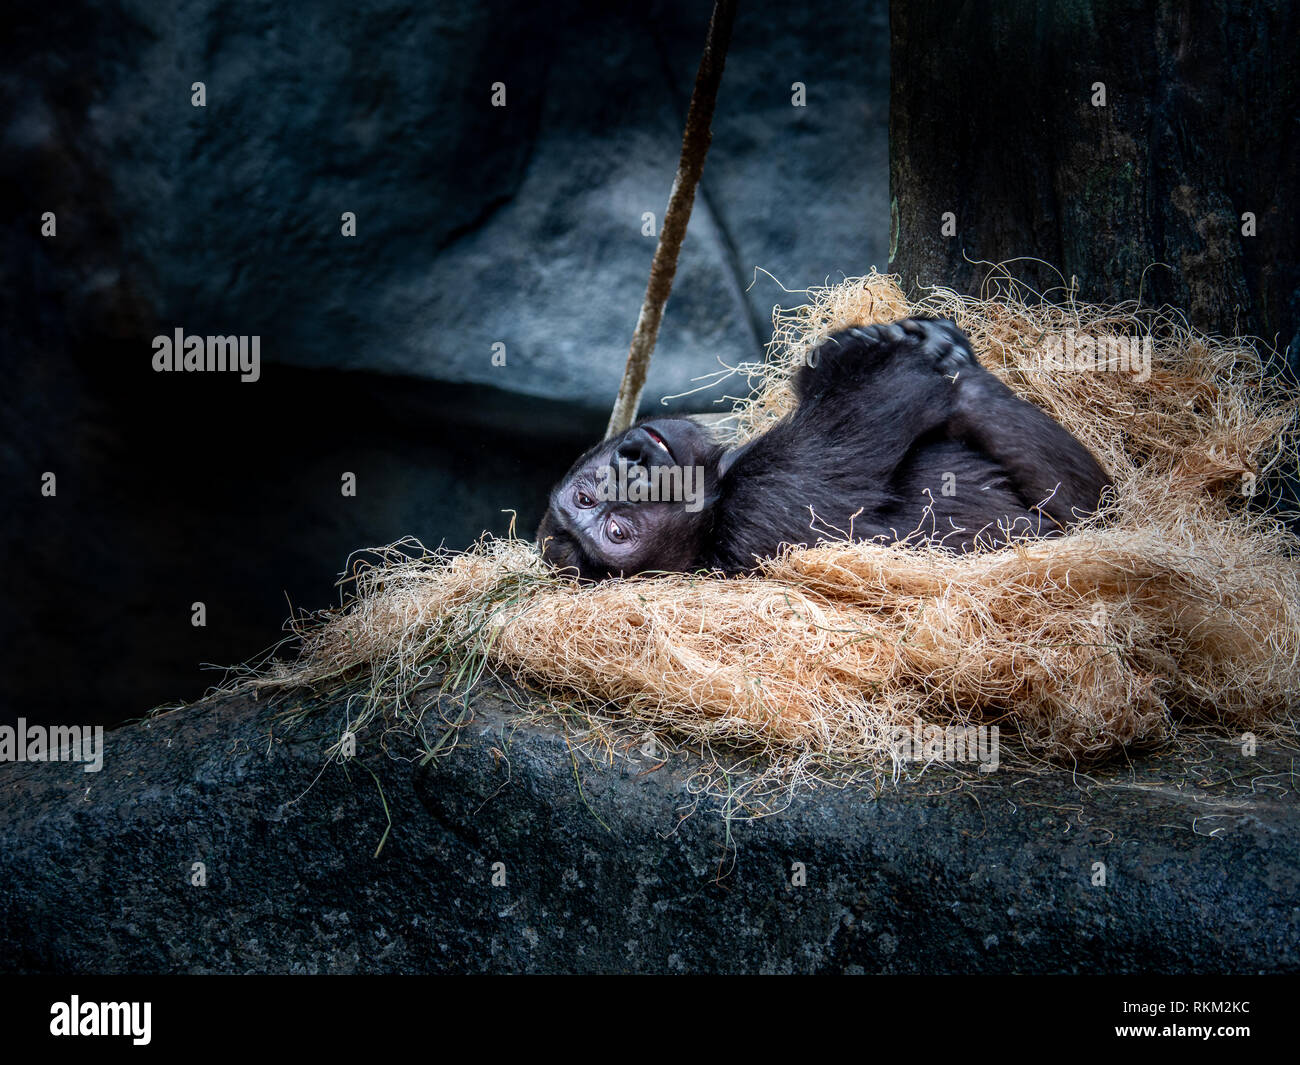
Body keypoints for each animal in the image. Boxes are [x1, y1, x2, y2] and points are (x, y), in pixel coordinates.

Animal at [537, 317, 1110, 580]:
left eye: (588, 499)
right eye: (618, 533)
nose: (633, 464)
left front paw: (866, 340)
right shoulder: (760, 508)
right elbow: (880, 398)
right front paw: (911, 353)